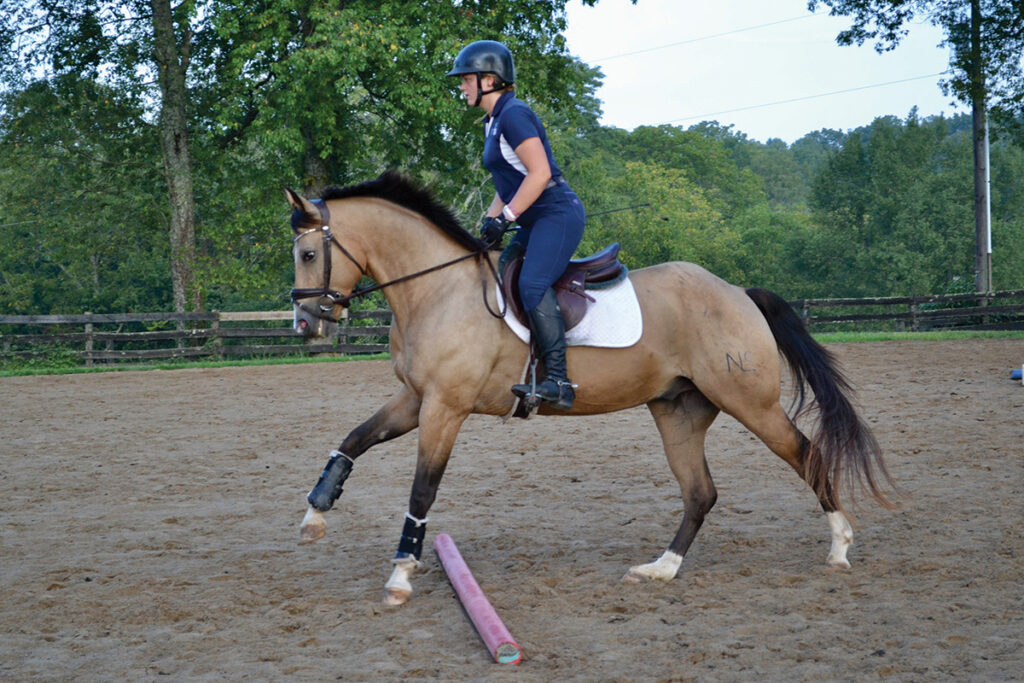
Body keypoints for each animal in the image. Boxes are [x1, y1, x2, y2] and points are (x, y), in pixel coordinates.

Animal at [286, 171, 894, 606]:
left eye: (309, 254)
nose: (306, 325)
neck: (438, 289)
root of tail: (737, 292)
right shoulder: (417, 399)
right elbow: (355, 439)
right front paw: (316, 511)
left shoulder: (445, 408)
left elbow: (421, 491)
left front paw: (401, 574)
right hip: (677, 411)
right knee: (701, 492)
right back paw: (661, 569)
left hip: (751, 402)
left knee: (807, 454)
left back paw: (840, 546)